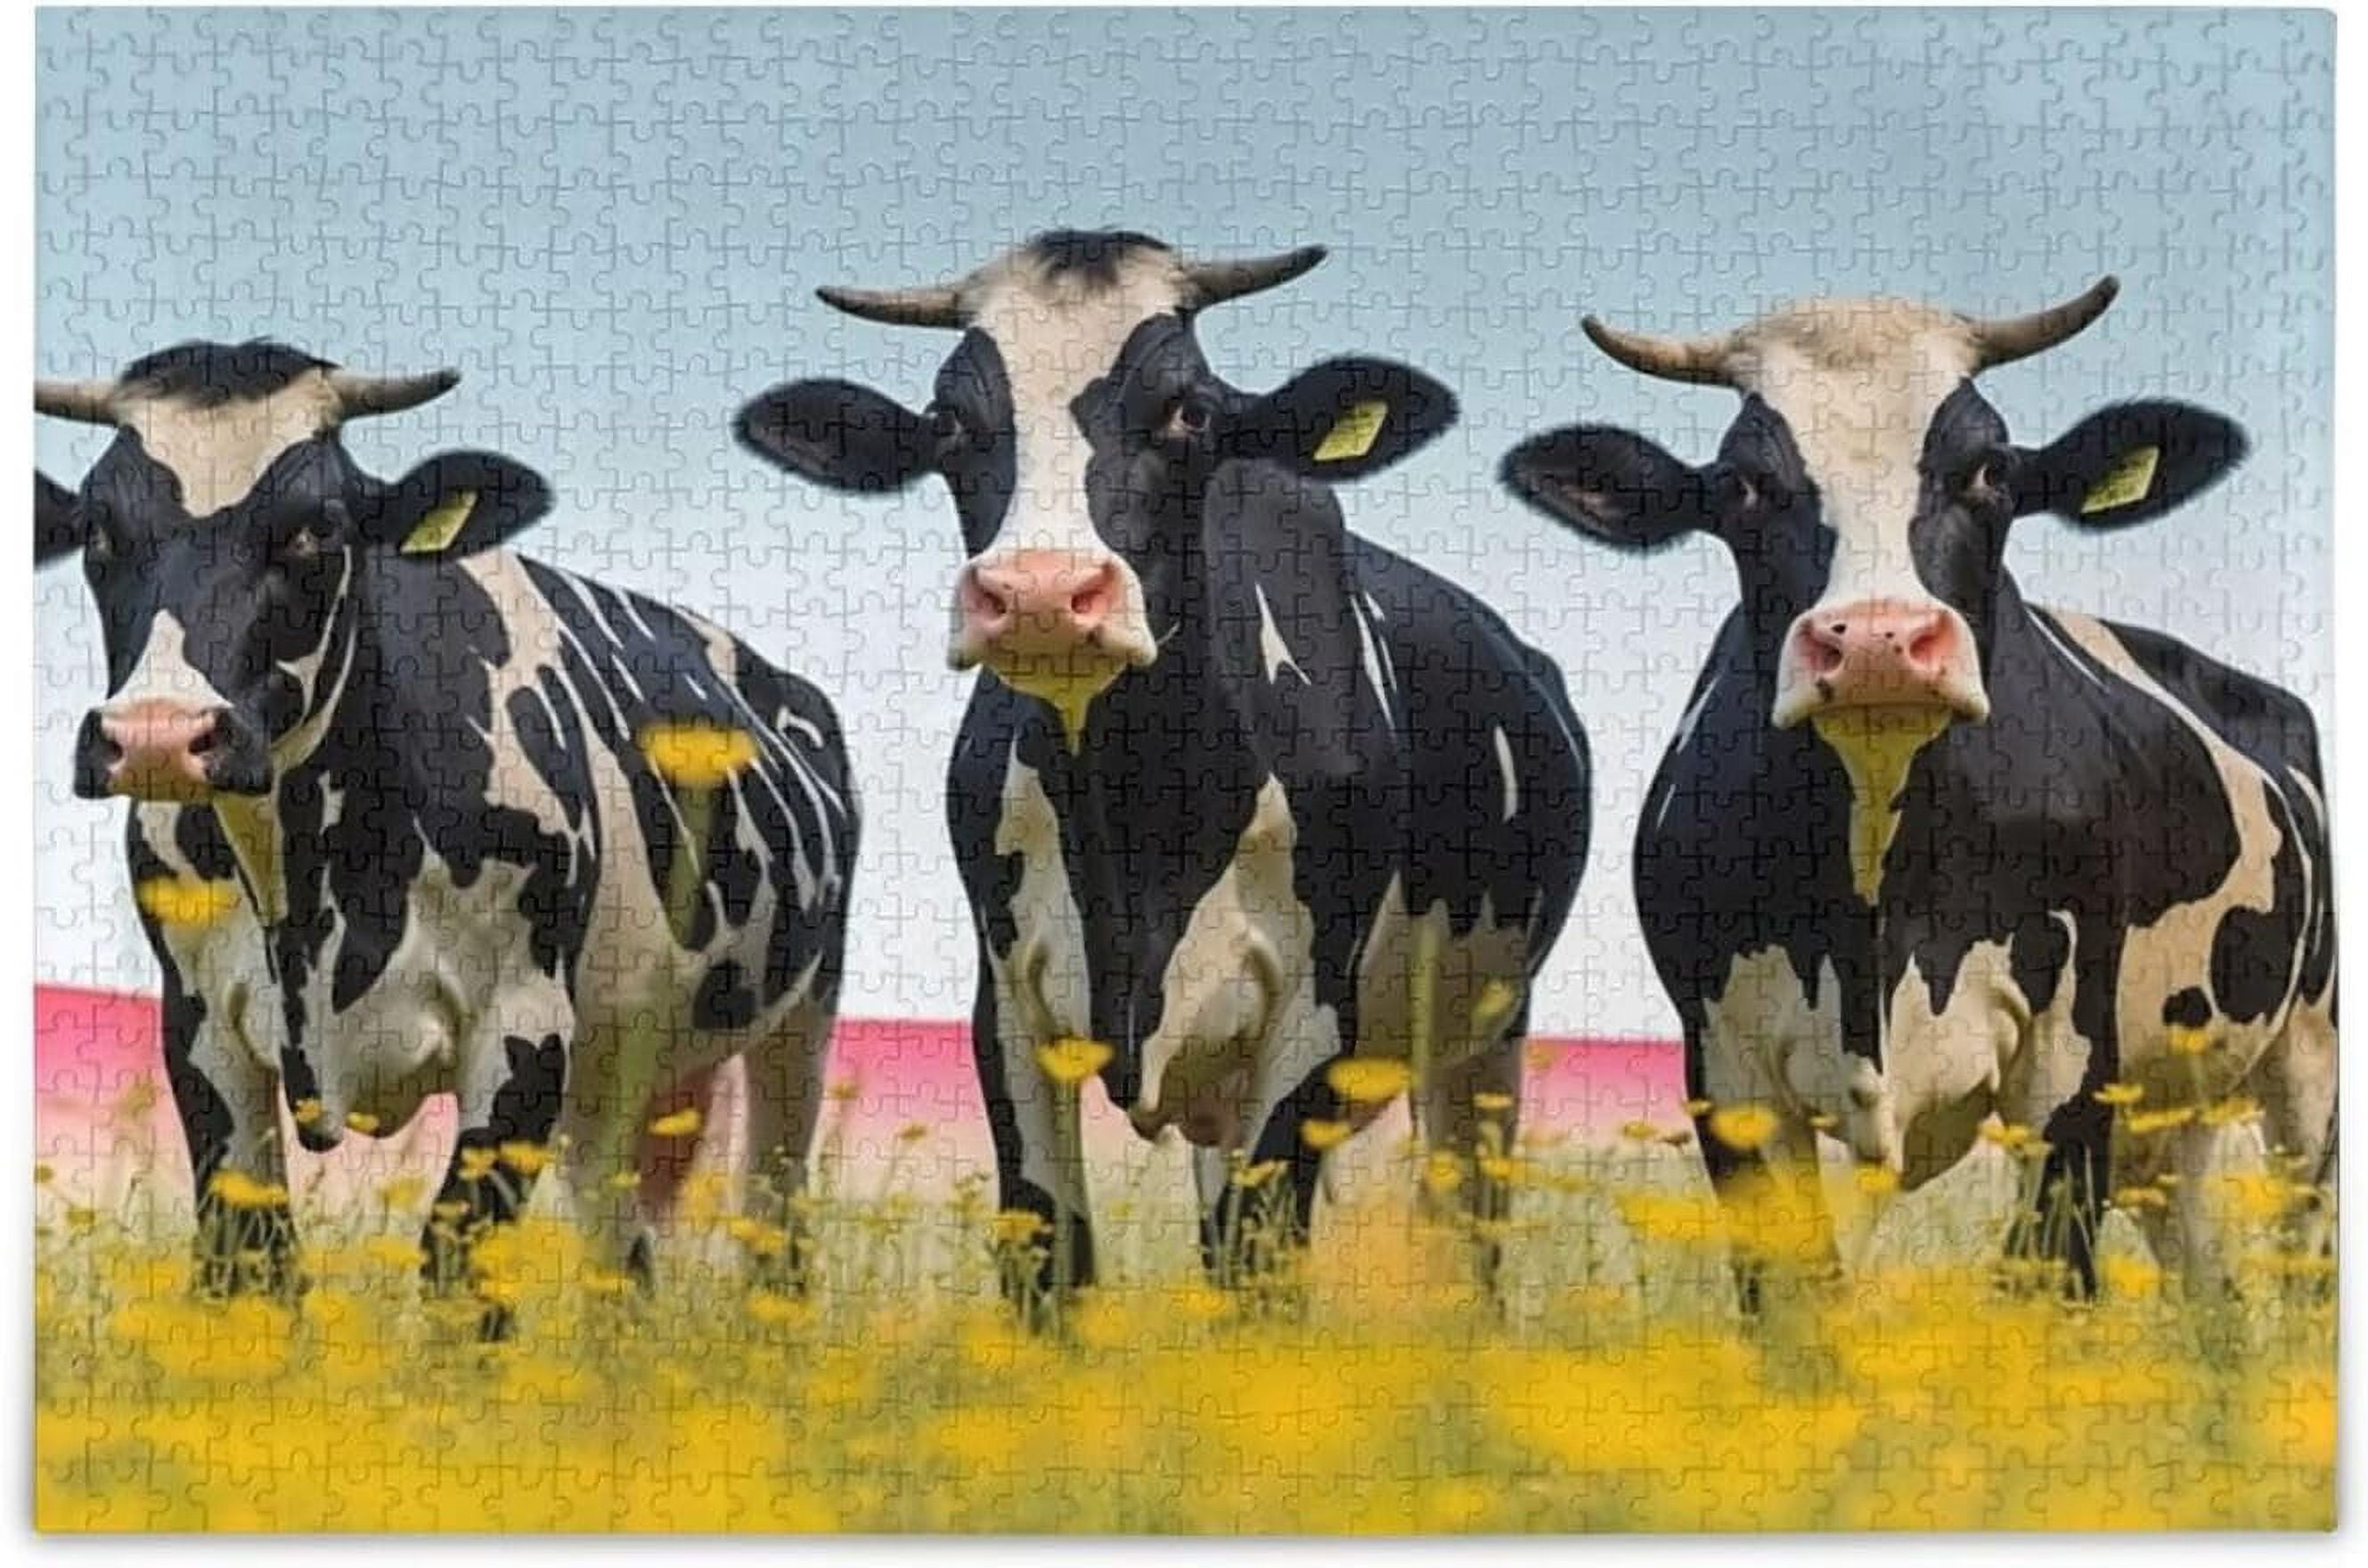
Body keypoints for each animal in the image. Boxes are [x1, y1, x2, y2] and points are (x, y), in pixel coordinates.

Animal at [35, 342, 859, 1331]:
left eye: (318, 528)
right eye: (99, 531)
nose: (157, 734)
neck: (313, 887)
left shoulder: (523, 1023)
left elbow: (460, 1265)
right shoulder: (198, 1022)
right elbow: (249, 1253)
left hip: (798, 1023)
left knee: (776, 1224)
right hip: (612, 1065)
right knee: (620, 1249)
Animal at [734, 229, 1589, 1307]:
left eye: (1189, 408)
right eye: (948, 420)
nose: (1043, 593)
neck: (1137, 822)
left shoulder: (1310, 1020)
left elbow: (1260, 1268)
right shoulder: (1007, 1006)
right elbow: (1050, 1254)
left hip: (1484, 1046)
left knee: (1464, 1239)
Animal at [1500, 278, 2335, 1302]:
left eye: (1988, 470)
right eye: (1742, 484)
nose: (1877, 641)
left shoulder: (2072, 1067)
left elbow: (2042, 1283)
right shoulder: (1729, 1076)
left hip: (2308, 1072)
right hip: (2168, 1121)